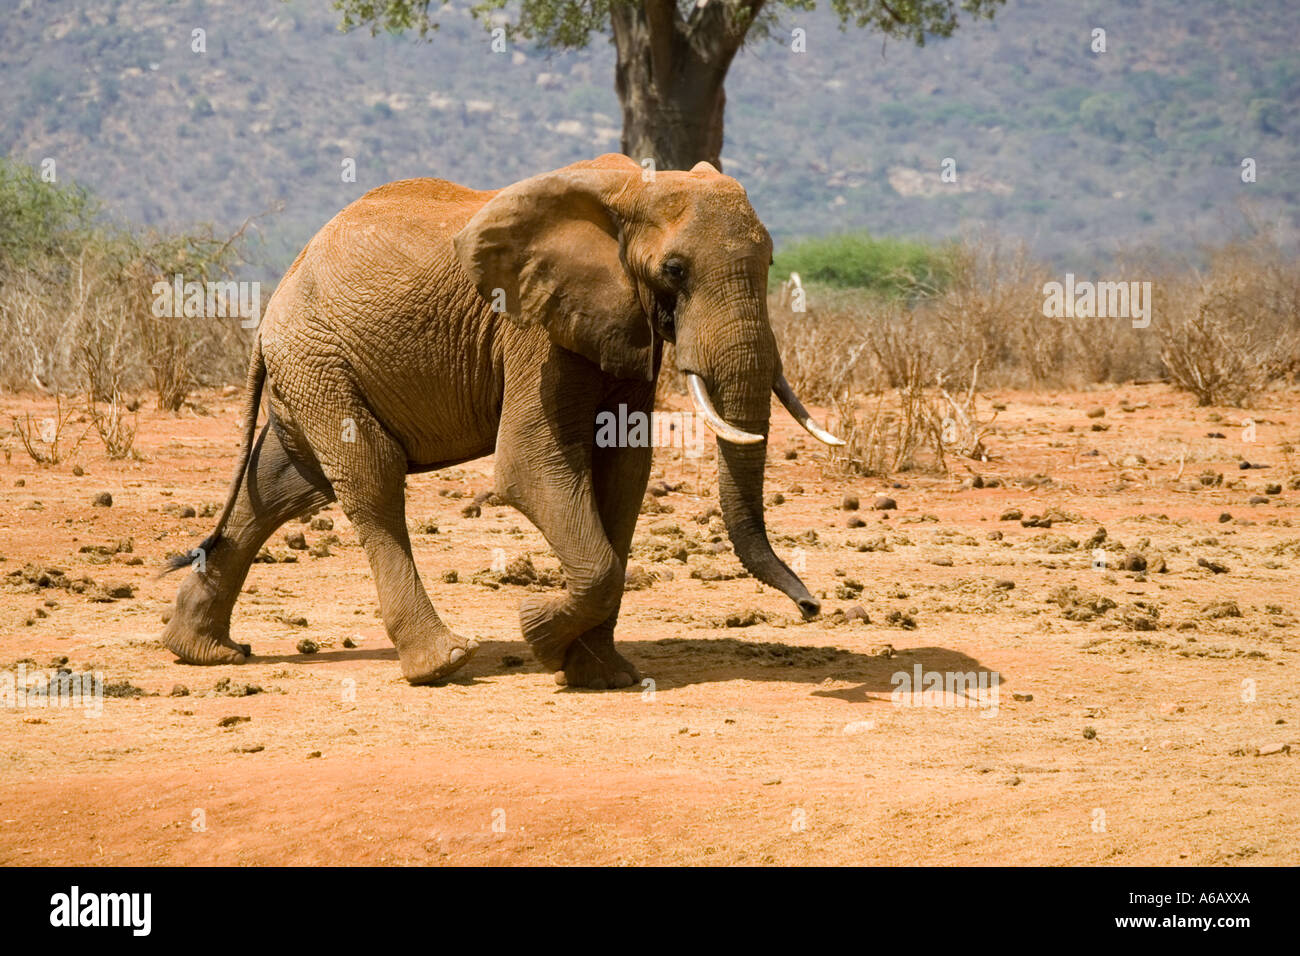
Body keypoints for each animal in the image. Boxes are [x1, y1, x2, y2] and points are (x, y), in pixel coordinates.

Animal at [161, 153, 842, 689]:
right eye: (675, 270)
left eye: (772, 262)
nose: (811, 608)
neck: (631, 191)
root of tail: (274, 300)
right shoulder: (532, 329)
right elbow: (530, 466)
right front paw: (536, 630)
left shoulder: (619, 323)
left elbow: (624, 472)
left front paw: (602, 676)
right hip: (317, 359)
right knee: (370, 478)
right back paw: (443, 664)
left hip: (309, 369)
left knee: (280, 487)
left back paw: (205, 653)